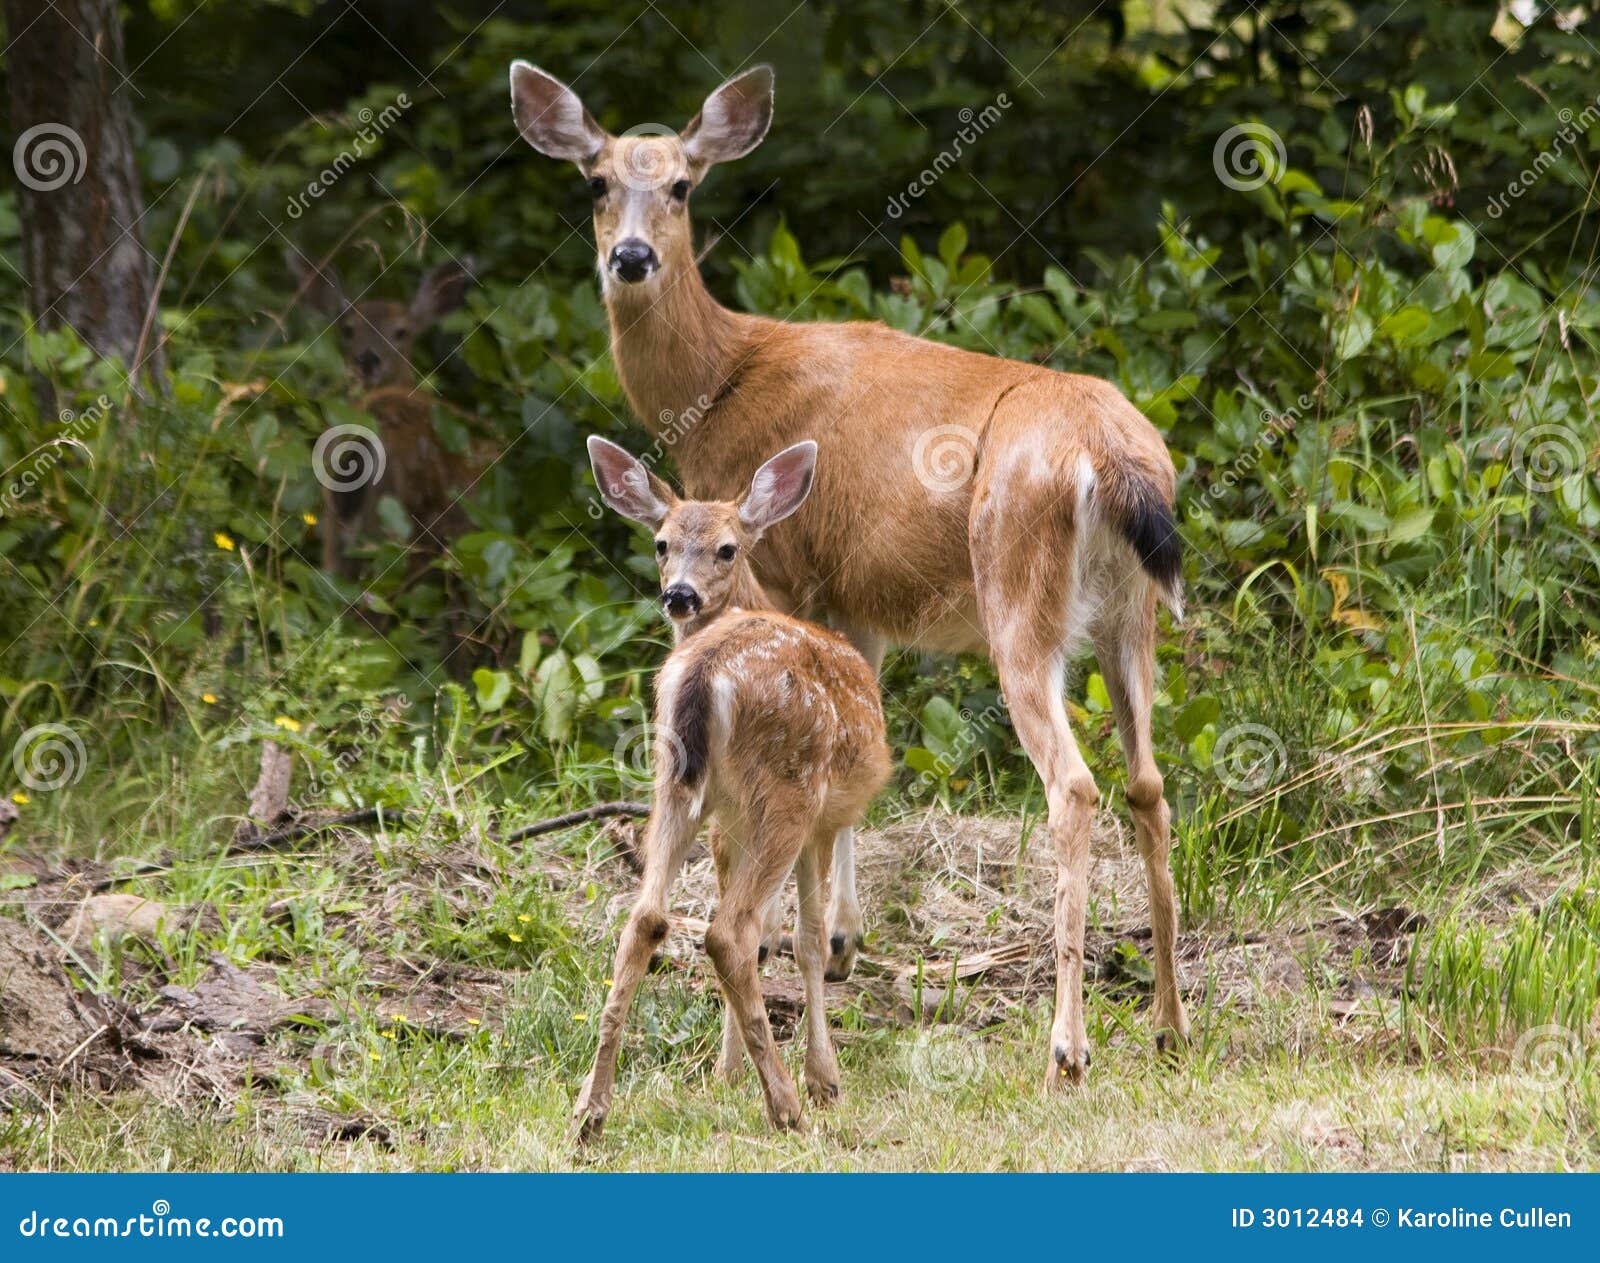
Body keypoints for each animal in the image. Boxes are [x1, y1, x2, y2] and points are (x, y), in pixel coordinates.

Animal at [576, 435, 889, 1138]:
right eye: (661, 543)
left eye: (727, 548)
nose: (680, 596)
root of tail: (706, 672)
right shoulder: (820, 820)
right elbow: (805, 942)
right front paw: (823, 1079)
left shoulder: (728, 824)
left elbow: (774, 940)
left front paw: (726, 1074)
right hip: (789, 790)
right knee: (729, 931)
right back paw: (788, 1106)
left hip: (676, 785)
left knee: (646, 919)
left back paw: (588, 1113)